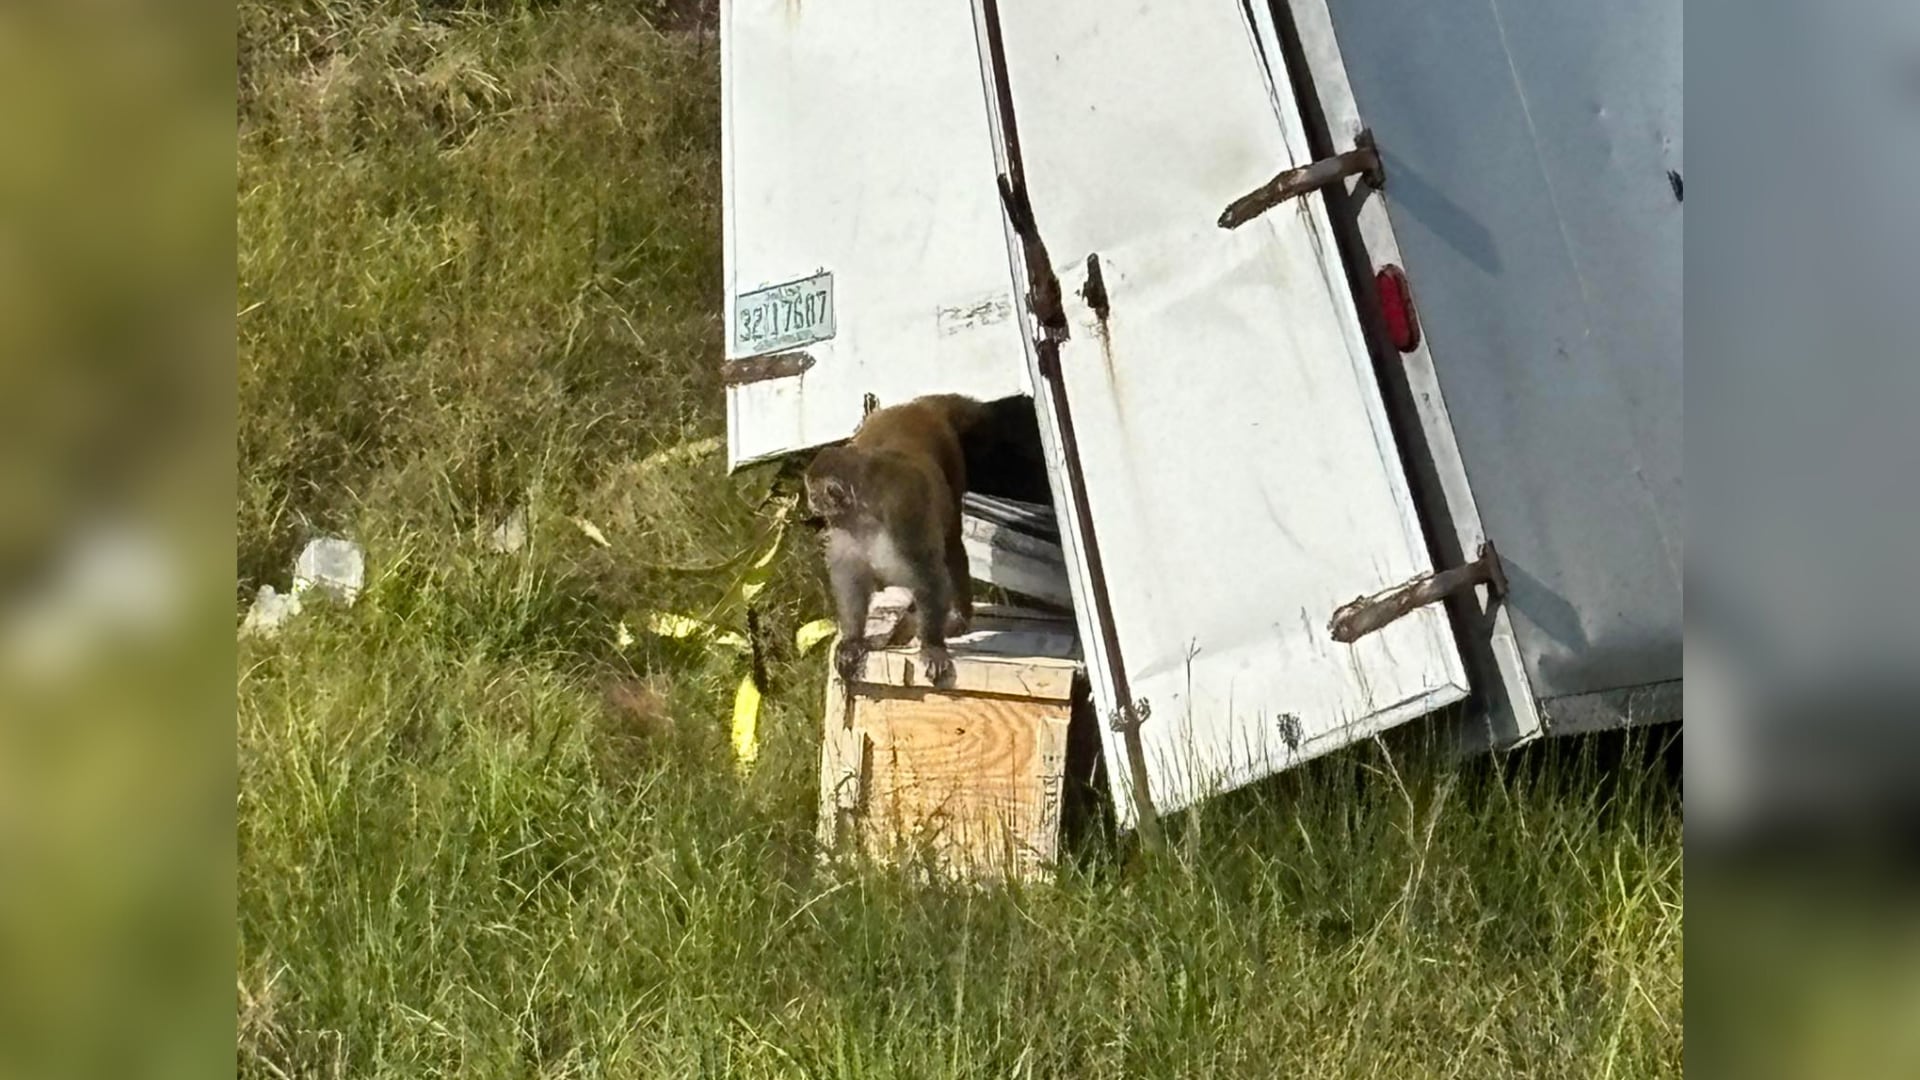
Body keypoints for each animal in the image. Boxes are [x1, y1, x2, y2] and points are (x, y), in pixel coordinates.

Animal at [804, 394, 986, 686]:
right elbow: (851, 578)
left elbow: (928, 573)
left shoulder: (903, 513)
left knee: (951, 543)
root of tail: (916, 406)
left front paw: (932, 646)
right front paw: (853, 639)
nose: (810, 503)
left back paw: (959, 616)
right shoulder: (844, 528)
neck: (864, 511)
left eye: (813, 494)